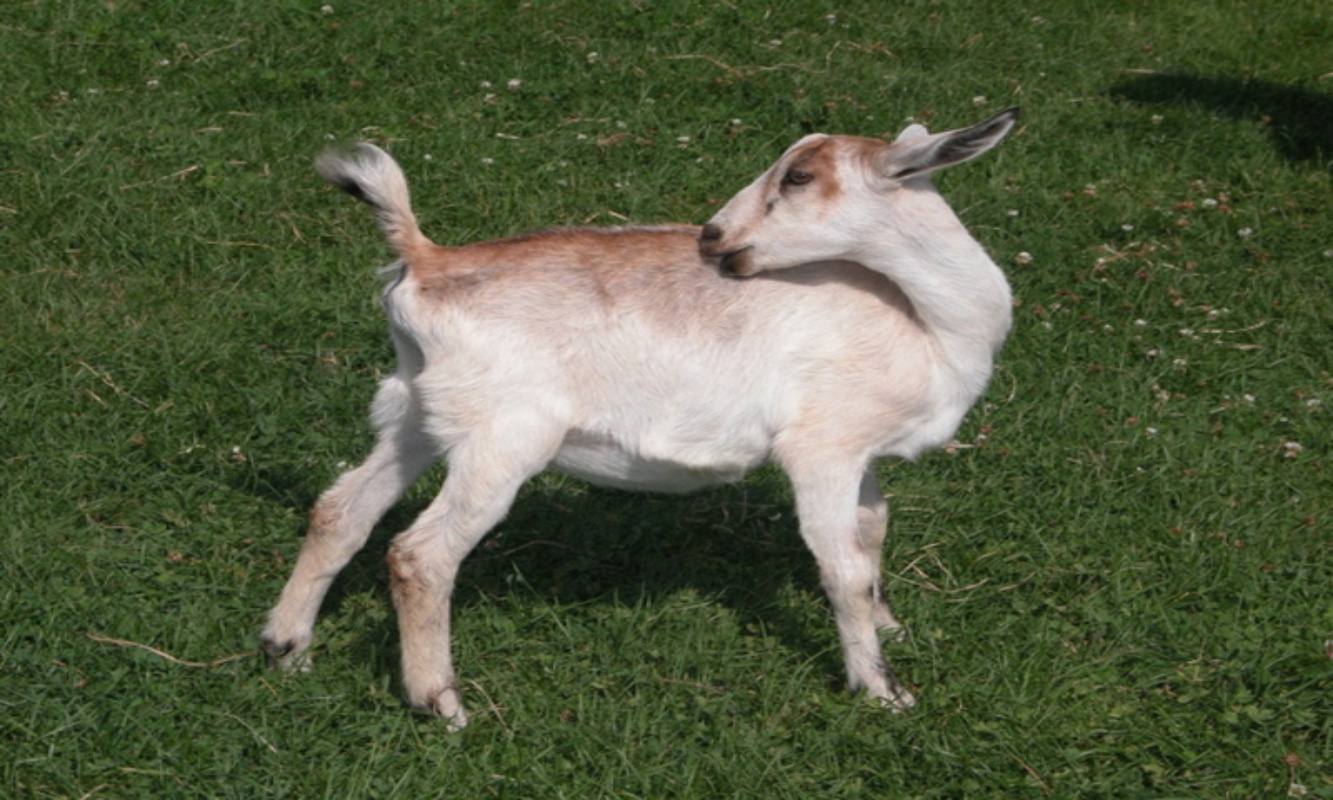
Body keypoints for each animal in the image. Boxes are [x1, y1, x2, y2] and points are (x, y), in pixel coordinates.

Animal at [261, 107, 1020, 728]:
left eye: (800, 176)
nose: (713, 237)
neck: (923, 321)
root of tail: (425, 259)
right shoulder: (821, 450)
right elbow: (845, 569)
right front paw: (882, 691)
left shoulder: (860, 455)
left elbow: (873, 531)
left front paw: (892, 629)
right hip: (503, 437)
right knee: (420, 555)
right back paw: (440, 703)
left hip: (415, 414)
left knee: (341, 508)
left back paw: (285, 647)